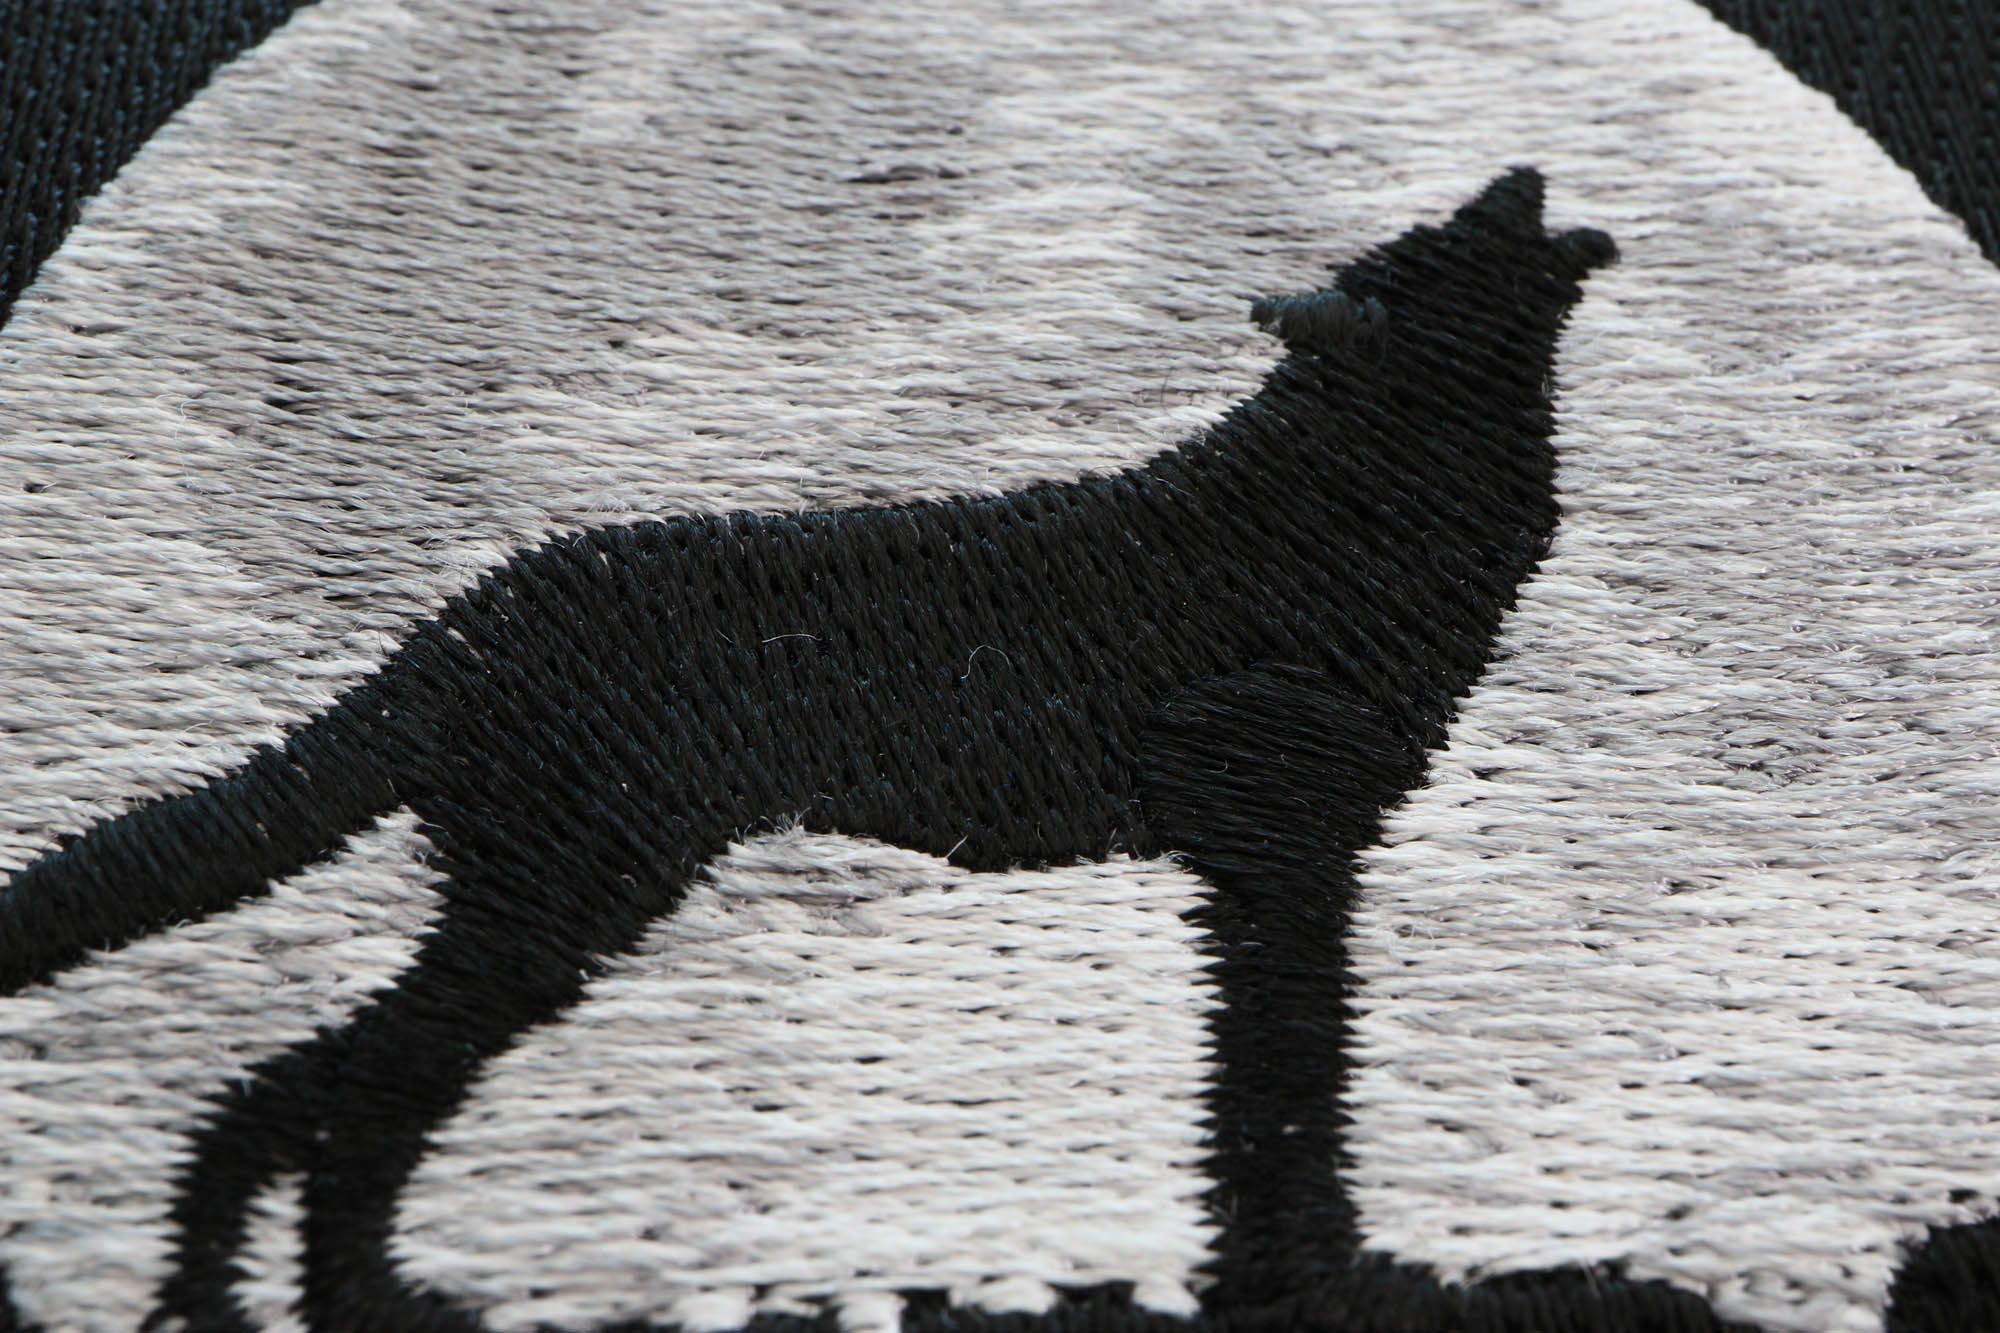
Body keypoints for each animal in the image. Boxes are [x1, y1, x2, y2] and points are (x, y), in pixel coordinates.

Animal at [2, 171, 1726, 1332]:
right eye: (1460, 234)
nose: (1525, 169)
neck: (1367, 494)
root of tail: (460, 624)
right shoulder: (1281, 829)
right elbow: (1290, 1074)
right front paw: (1328, 1279)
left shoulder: (1271, 856)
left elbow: (1269, 1076)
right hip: (567, 888)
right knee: (341, 1087)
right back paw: (368, 1303)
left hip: (540, 893)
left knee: (291, 1085)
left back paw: (255, 1298)